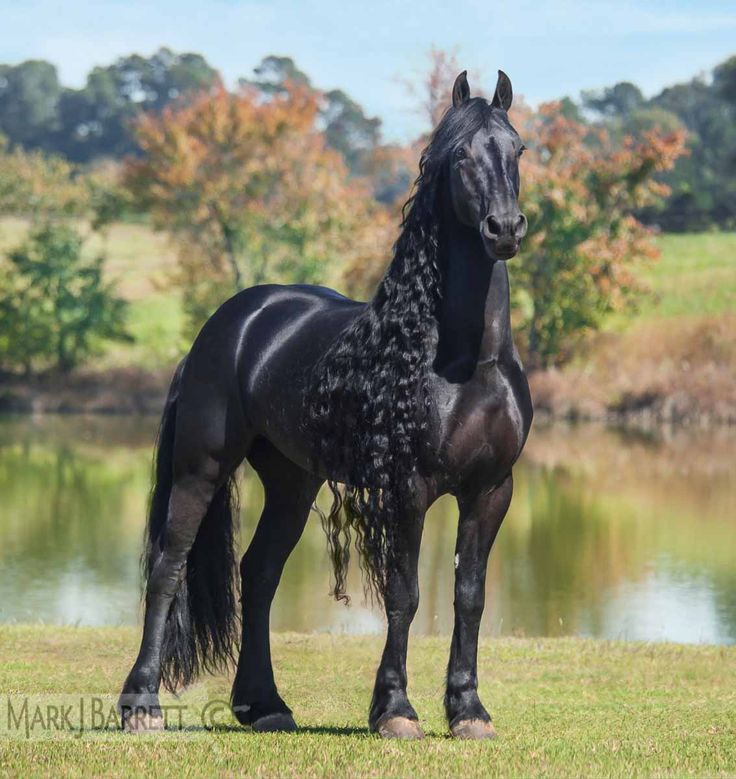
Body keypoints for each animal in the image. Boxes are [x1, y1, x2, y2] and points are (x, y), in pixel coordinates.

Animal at [119, 69, 533, 741]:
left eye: (517, 150)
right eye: (460, 156)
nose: (504, 229)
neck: (467, 362)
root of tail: (230, 324)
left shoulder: (491, 488)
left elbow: (469, 594)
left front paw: (469, 710)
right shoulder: (408, 487)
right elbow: (404, 594)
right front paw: (395, 710)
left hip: (292, 482)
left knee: (259, 573)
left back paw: (264, 705)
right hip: (200, 470)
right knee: (168, 567)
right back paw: (142, 705)